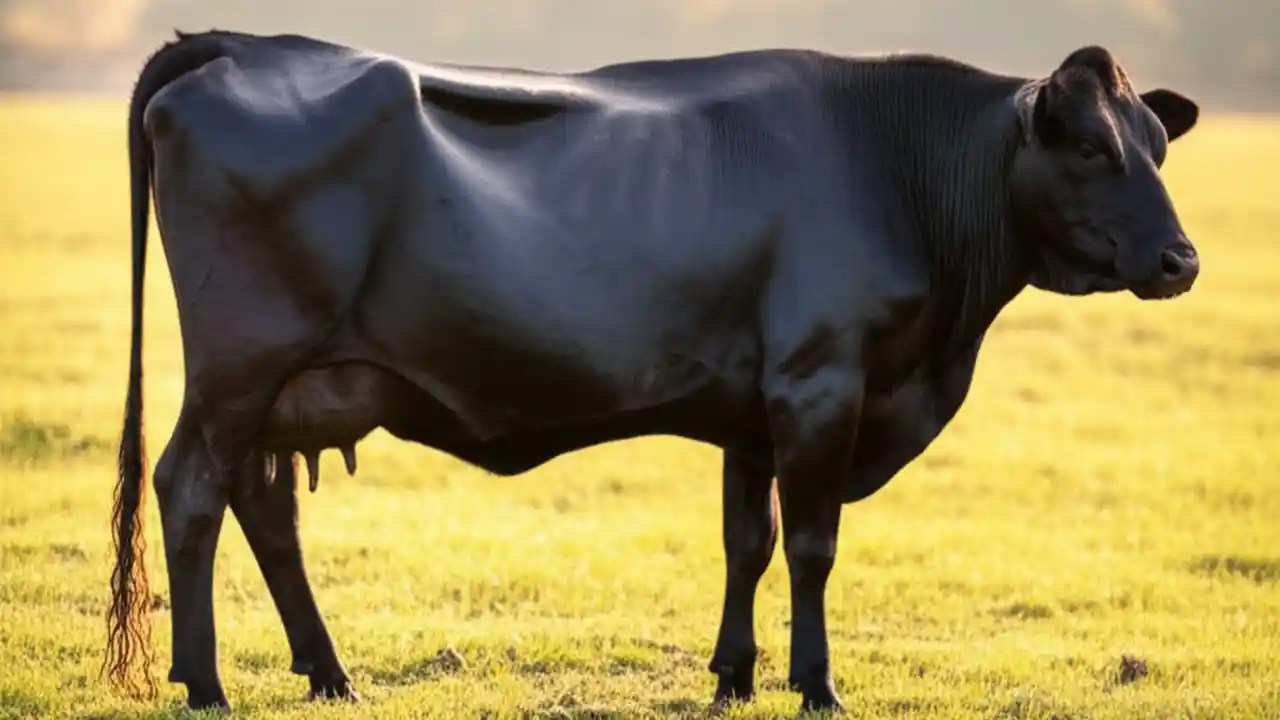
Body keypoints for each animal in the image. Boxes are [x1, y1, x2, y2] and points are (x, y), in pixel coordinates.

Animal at [106, 30, 1200, 712]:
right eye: (1091, 147)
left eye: (1155, 144)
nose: (1180, 260)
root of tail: (243, 43)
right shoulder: (820, 385)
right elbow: (811, 546)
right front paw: (815, 685)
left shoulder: (754, 408)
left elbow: (746, 541)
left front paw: (732, 676)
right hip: (241, 367)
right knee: (191, 490)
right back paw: (206, 685)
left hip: (286, 387)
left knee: (263, 506)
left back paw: (328, 673)